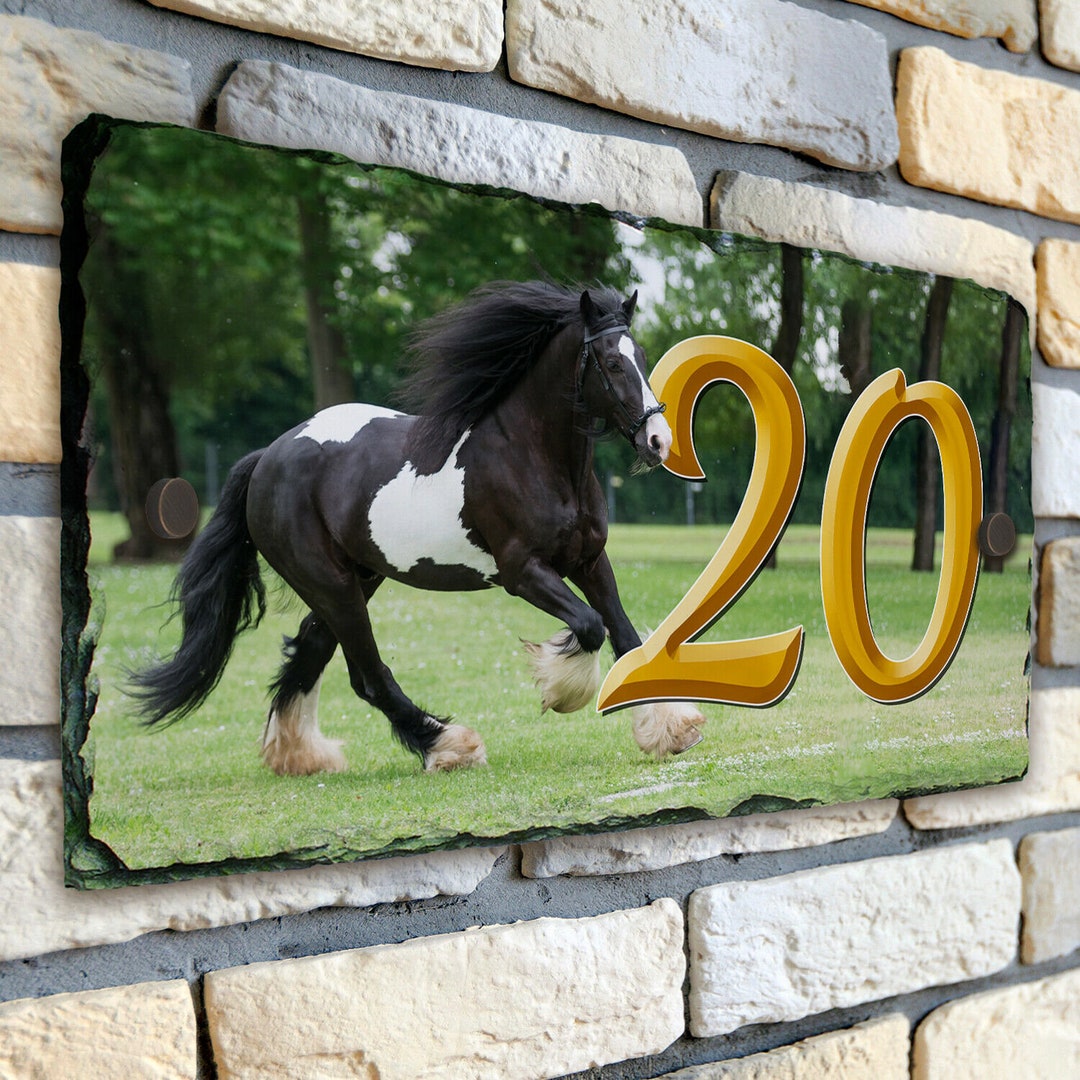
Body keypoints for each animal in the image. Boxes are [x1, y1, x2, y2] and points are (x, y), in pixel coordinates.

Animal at [131, 281, 705, 775]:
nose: (658, 441)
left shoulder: (589, 560)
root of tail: (267, 457)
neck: (531, 455)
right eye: (612, 362)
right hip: (332, 586)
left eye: (643, 358)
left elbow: (625, 635)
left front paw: (671, 729)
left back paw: (300, 756)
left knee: (310, 652)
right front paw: (561, 690)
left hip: (353, 580)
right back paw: (448, 744)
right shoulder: (523, 572)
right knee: (367, 677)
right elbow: (589, 626)